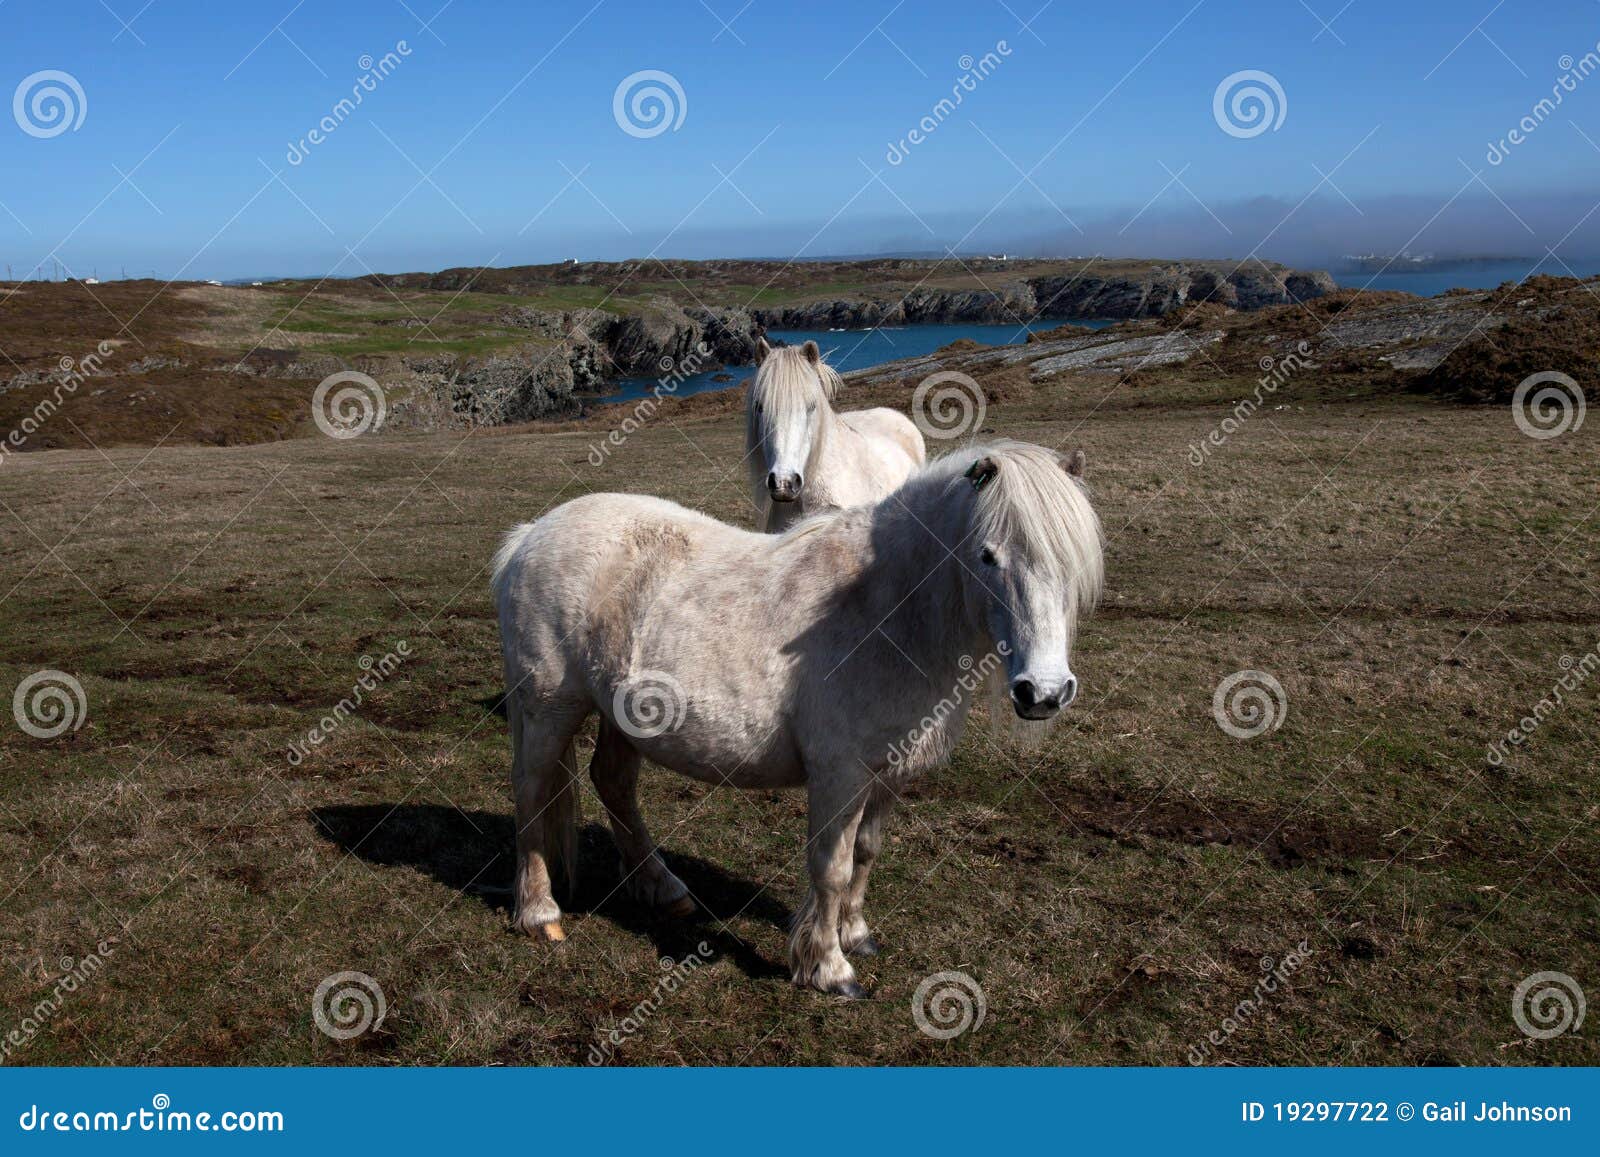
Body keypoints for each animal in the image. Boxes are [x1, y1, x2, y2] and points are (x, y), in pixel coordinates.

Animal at [492, 439, 1103, 996]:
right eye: (987, 556)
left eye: (1074, 564)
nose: (1044, 692)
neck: (888, 611)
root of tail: (532, 534)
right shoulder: (841, 774)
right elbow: (831, 867)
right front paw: (828, 968)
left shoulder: (888, 773)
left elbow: (865, 853)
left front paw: (856, 934)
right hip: (548, 710)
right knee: (532, 792)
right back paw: (540, 913)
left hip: (621, 717)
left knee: (613, 785)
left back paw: (664, 889)